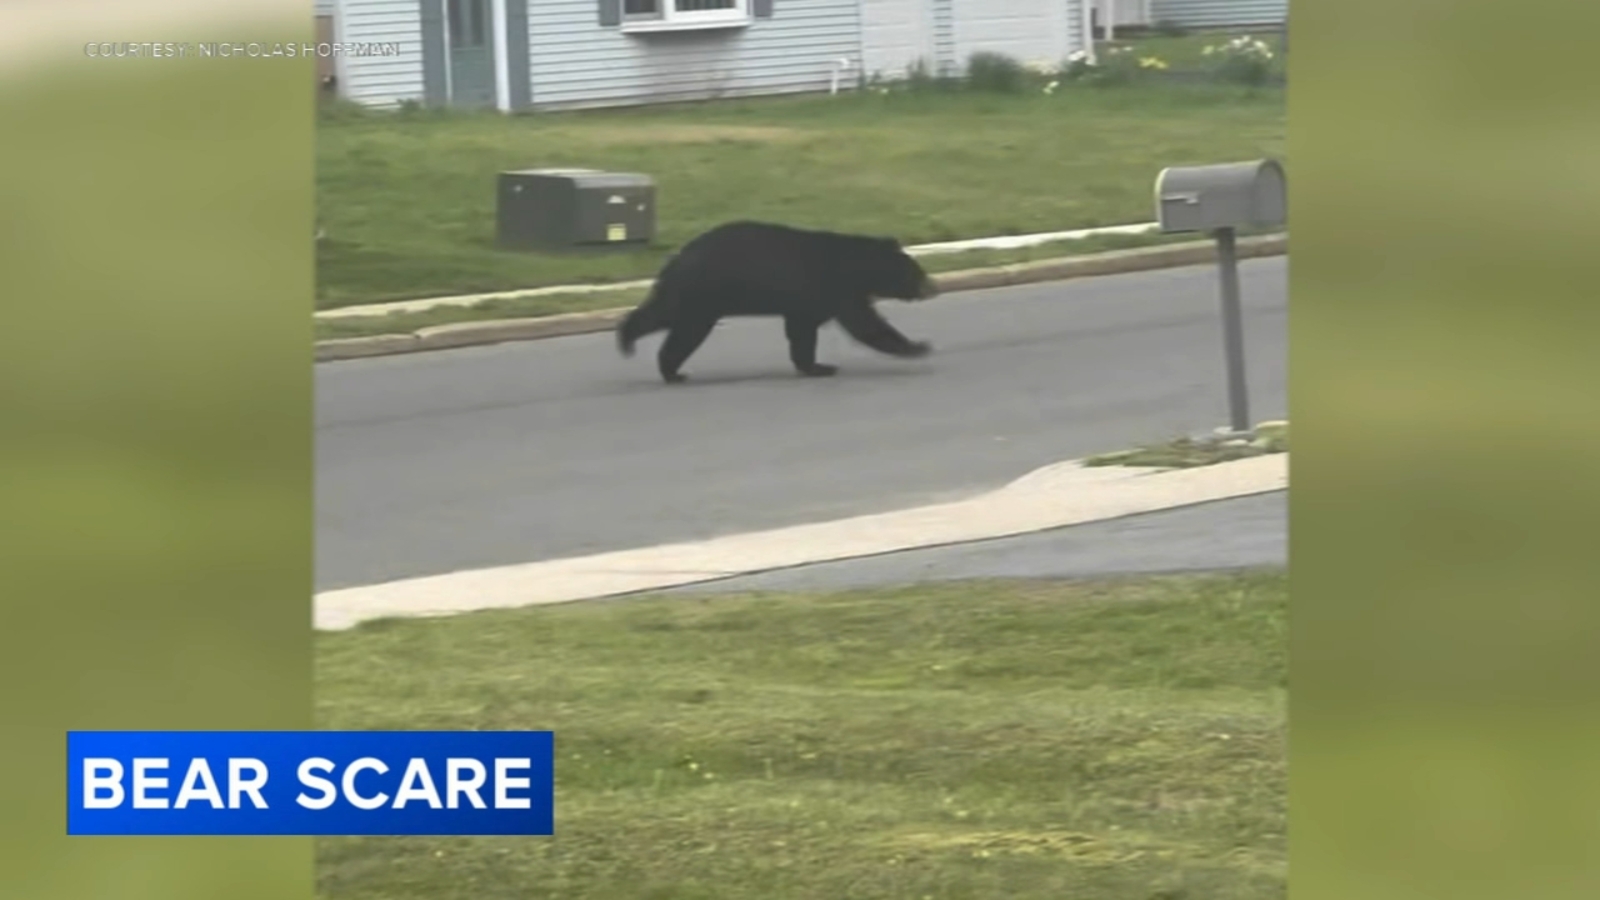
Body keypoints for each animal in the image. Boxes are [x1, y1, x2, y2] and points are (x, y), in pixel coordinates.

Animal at [615, 220, 939, 383]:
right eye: (918, 272)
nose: (933, 287)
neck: (857, 266)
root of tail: (675, 259)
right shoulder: (834, 288)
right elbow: (864, 323)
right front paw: (917, 347)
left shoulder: (809, 301)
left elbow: (801, 331)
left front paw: (815, 365)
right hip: (703, 295)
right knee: (681, 328)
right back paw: (663, 364)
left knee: (663, 314)